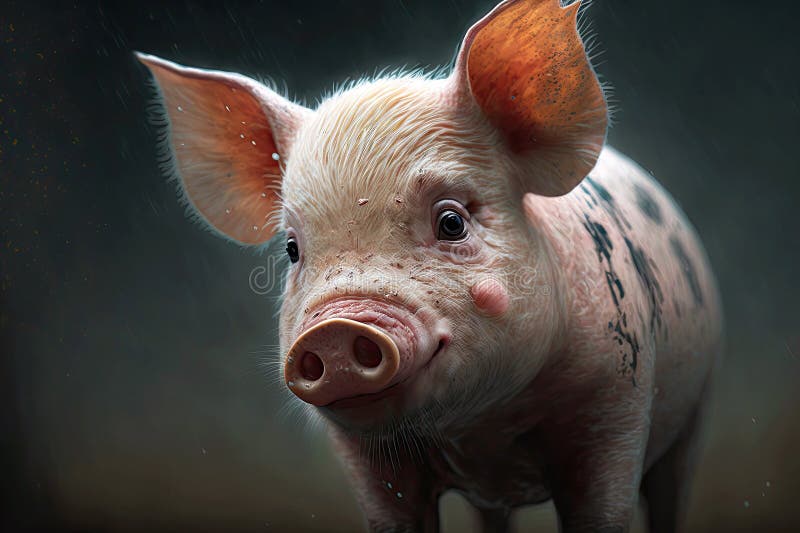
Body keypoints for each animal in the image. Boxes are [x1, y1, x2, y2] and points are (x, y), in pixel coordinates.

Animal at [137, 0, 723, 531]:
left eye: (451, 222)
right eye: (292, 249)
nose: (333, 328)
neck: (481, 429)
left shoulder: (617, 400)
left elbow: (603, 508)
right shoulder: (367, 458)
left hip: (695, 412)